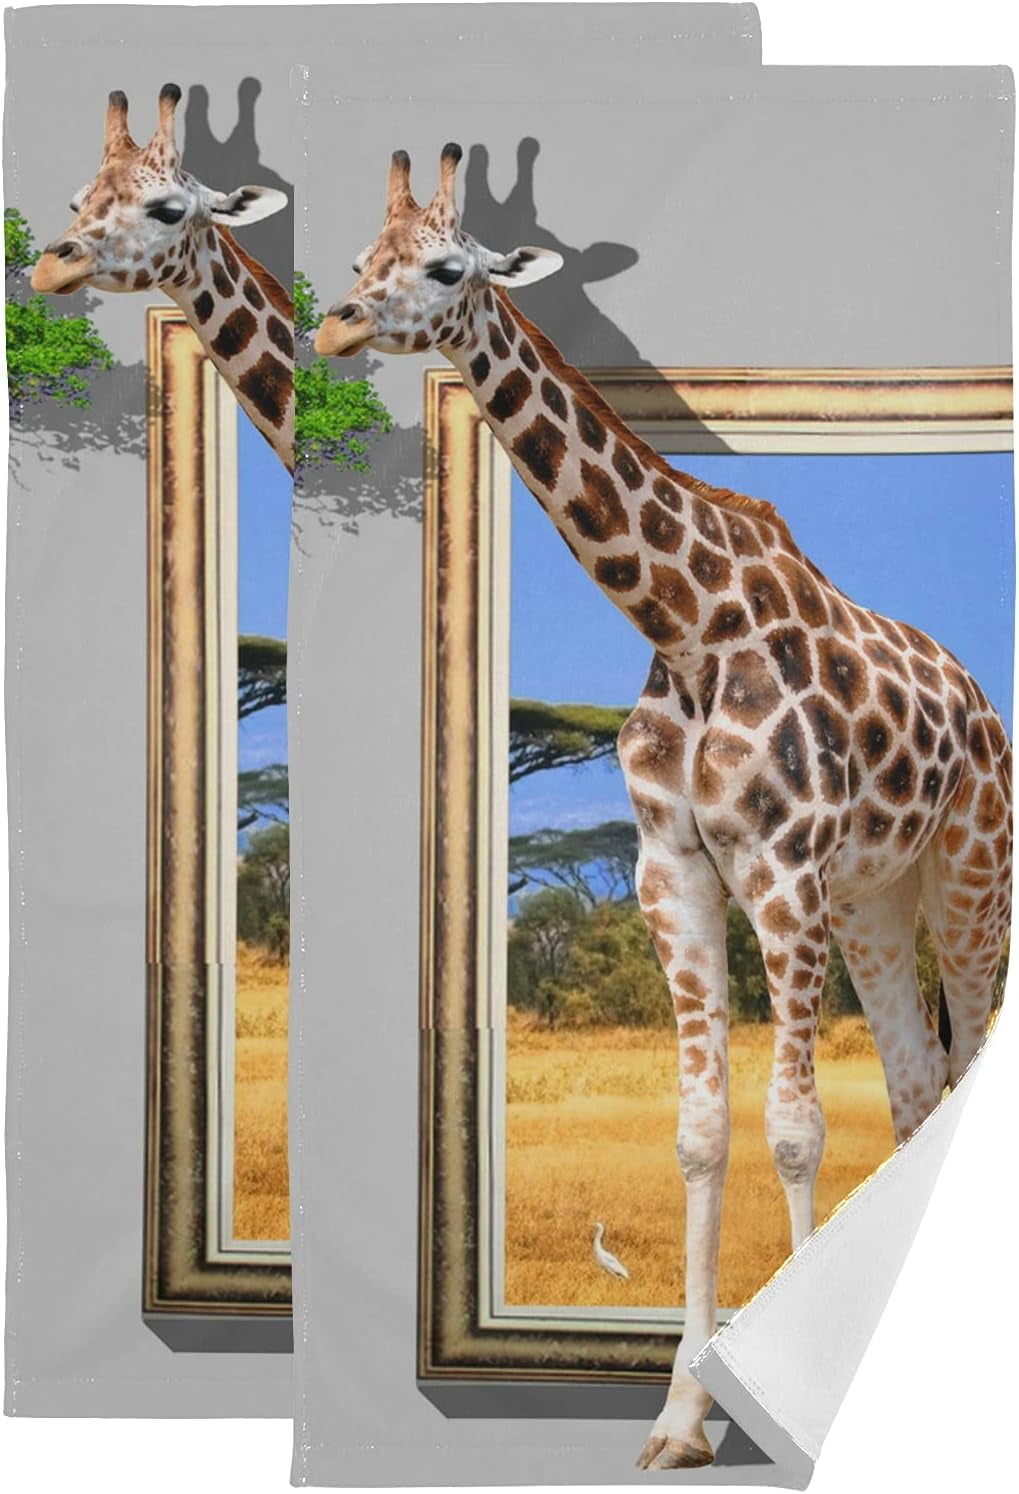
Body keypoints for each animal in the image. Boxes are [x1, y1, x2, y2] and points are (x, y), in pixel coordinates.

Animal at [315, 146, 1012, 1468]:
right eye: (359, 260)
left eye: (444, 267)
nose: (329, 324)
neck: (688, 626)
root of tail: (982, 710)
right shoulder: (671, 869)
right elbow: (700, 1133)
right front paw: (685, 1415)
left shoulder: (780, 870)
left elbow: (793, 1128)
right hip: (874, 901)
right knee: (913, 1085)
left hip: (965, 876)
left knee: (962, 1061)